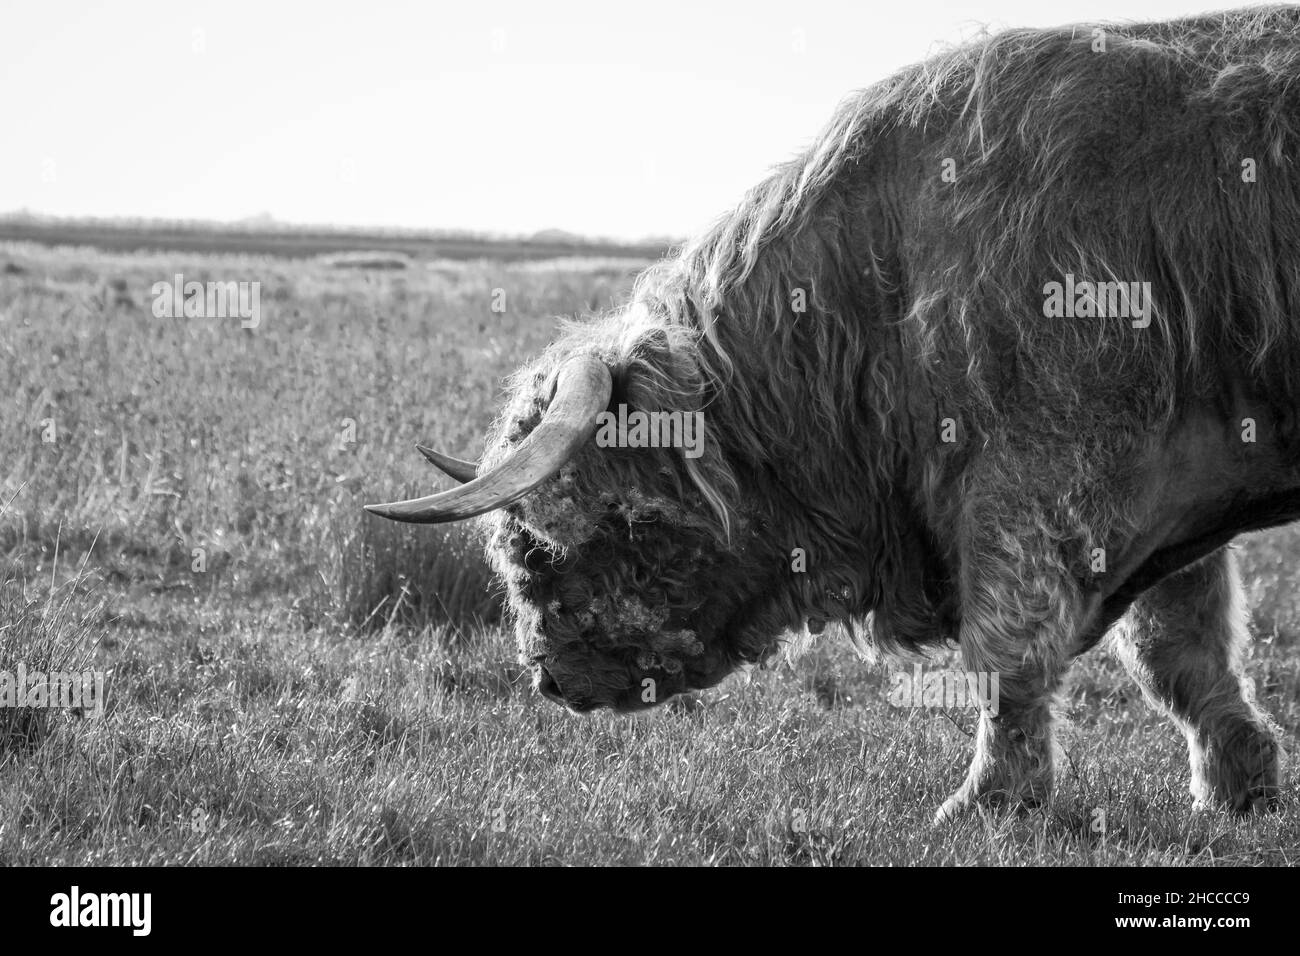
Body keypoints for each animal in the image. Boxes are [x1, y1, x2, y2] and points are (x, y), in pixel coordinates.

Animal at [368, 6, 1296, 819]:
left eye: (543, 546)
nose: (549, 680)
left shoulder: (1036, 479)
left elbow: (1012, 653)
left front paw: (988, 801)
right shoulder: (1165, 500)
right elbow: (1178, 651)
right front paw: (1237, 785)